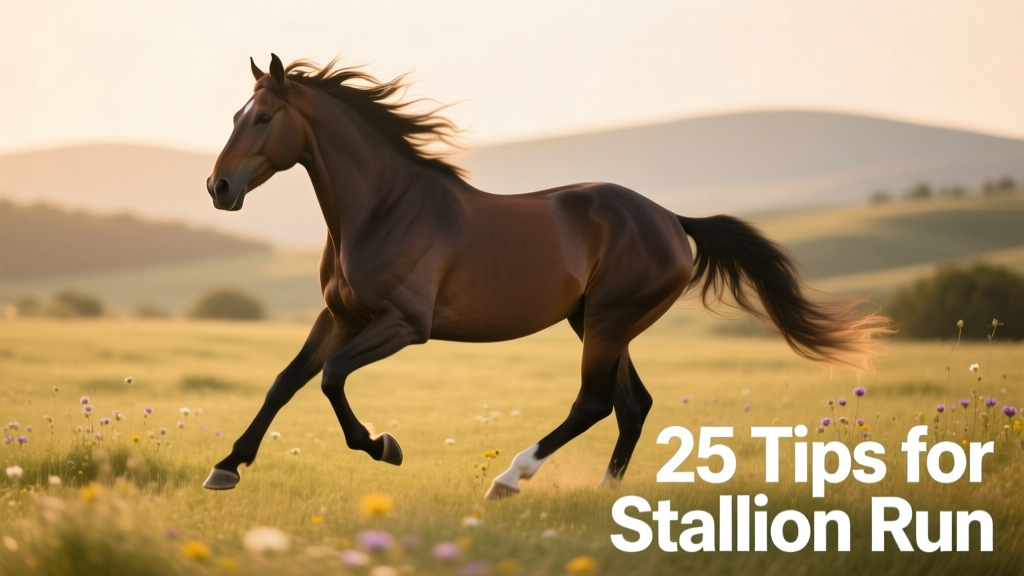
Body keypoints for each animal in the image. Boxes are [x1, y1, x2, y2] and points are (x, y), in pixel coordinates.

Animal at [203, 54, 890, 498]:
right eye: (235, 113)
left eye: (262, 118)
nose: (219, 187)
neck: (383, 210)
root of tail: (671, 219)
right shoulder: (340, 315)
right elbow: (286, 380)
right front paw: (228, 466)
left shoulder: (402, 324)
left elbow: (332, 379)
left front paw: (384, 446)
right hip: (594, 320)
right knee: (633, 404)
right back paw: (608, 493)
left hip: (608, 321)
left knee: (594, 403)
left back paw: (511, 478)